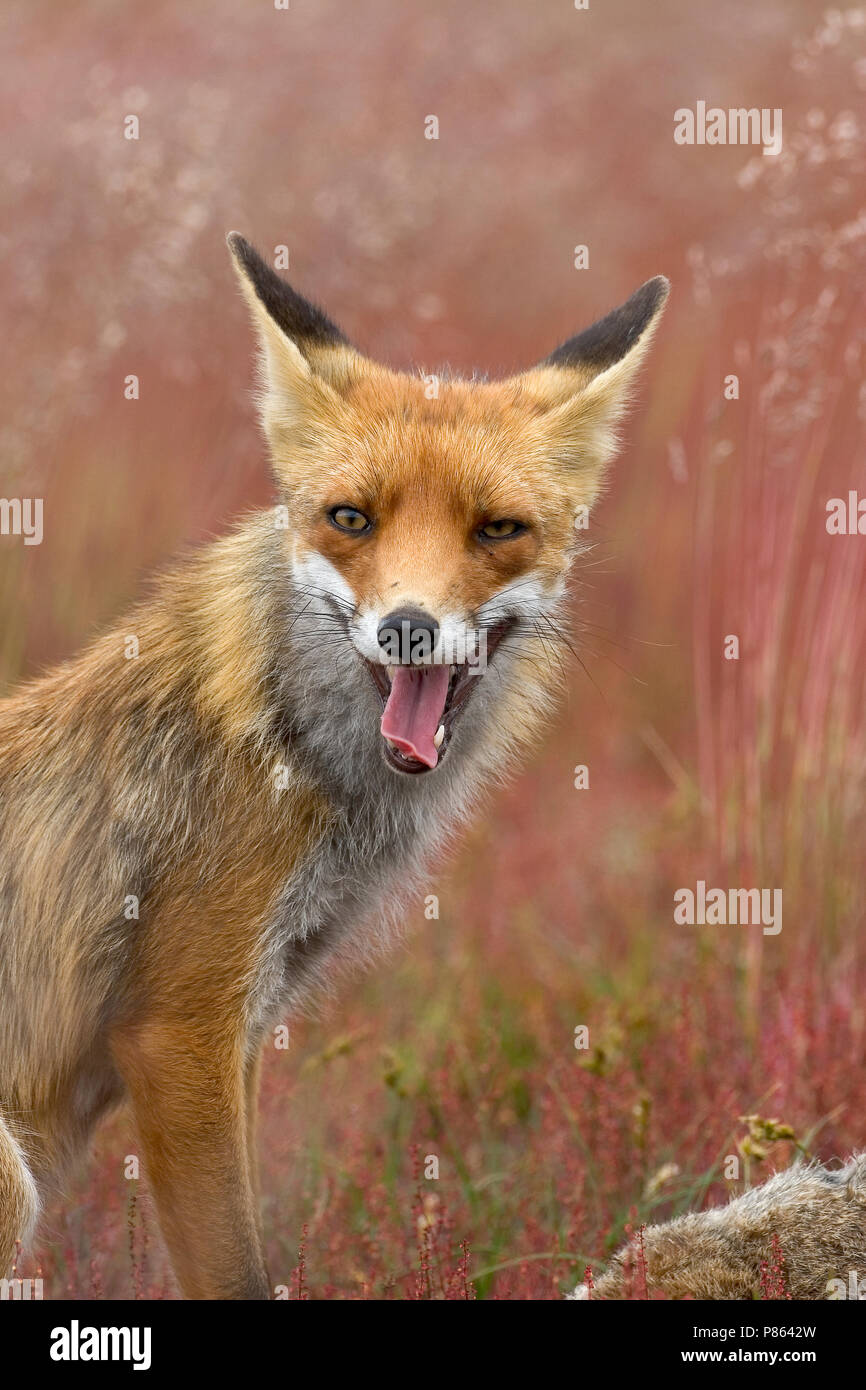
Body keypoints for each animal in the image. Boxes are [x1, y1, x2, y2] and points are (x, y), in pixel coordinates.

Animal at [0, 233, 668, 1299]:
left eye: (498, 529)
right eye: (352, 519)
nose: (408, 628)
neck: (286, 743)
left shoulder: (238, 1031)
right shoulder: (181, 1033)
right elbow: (236, 1272)